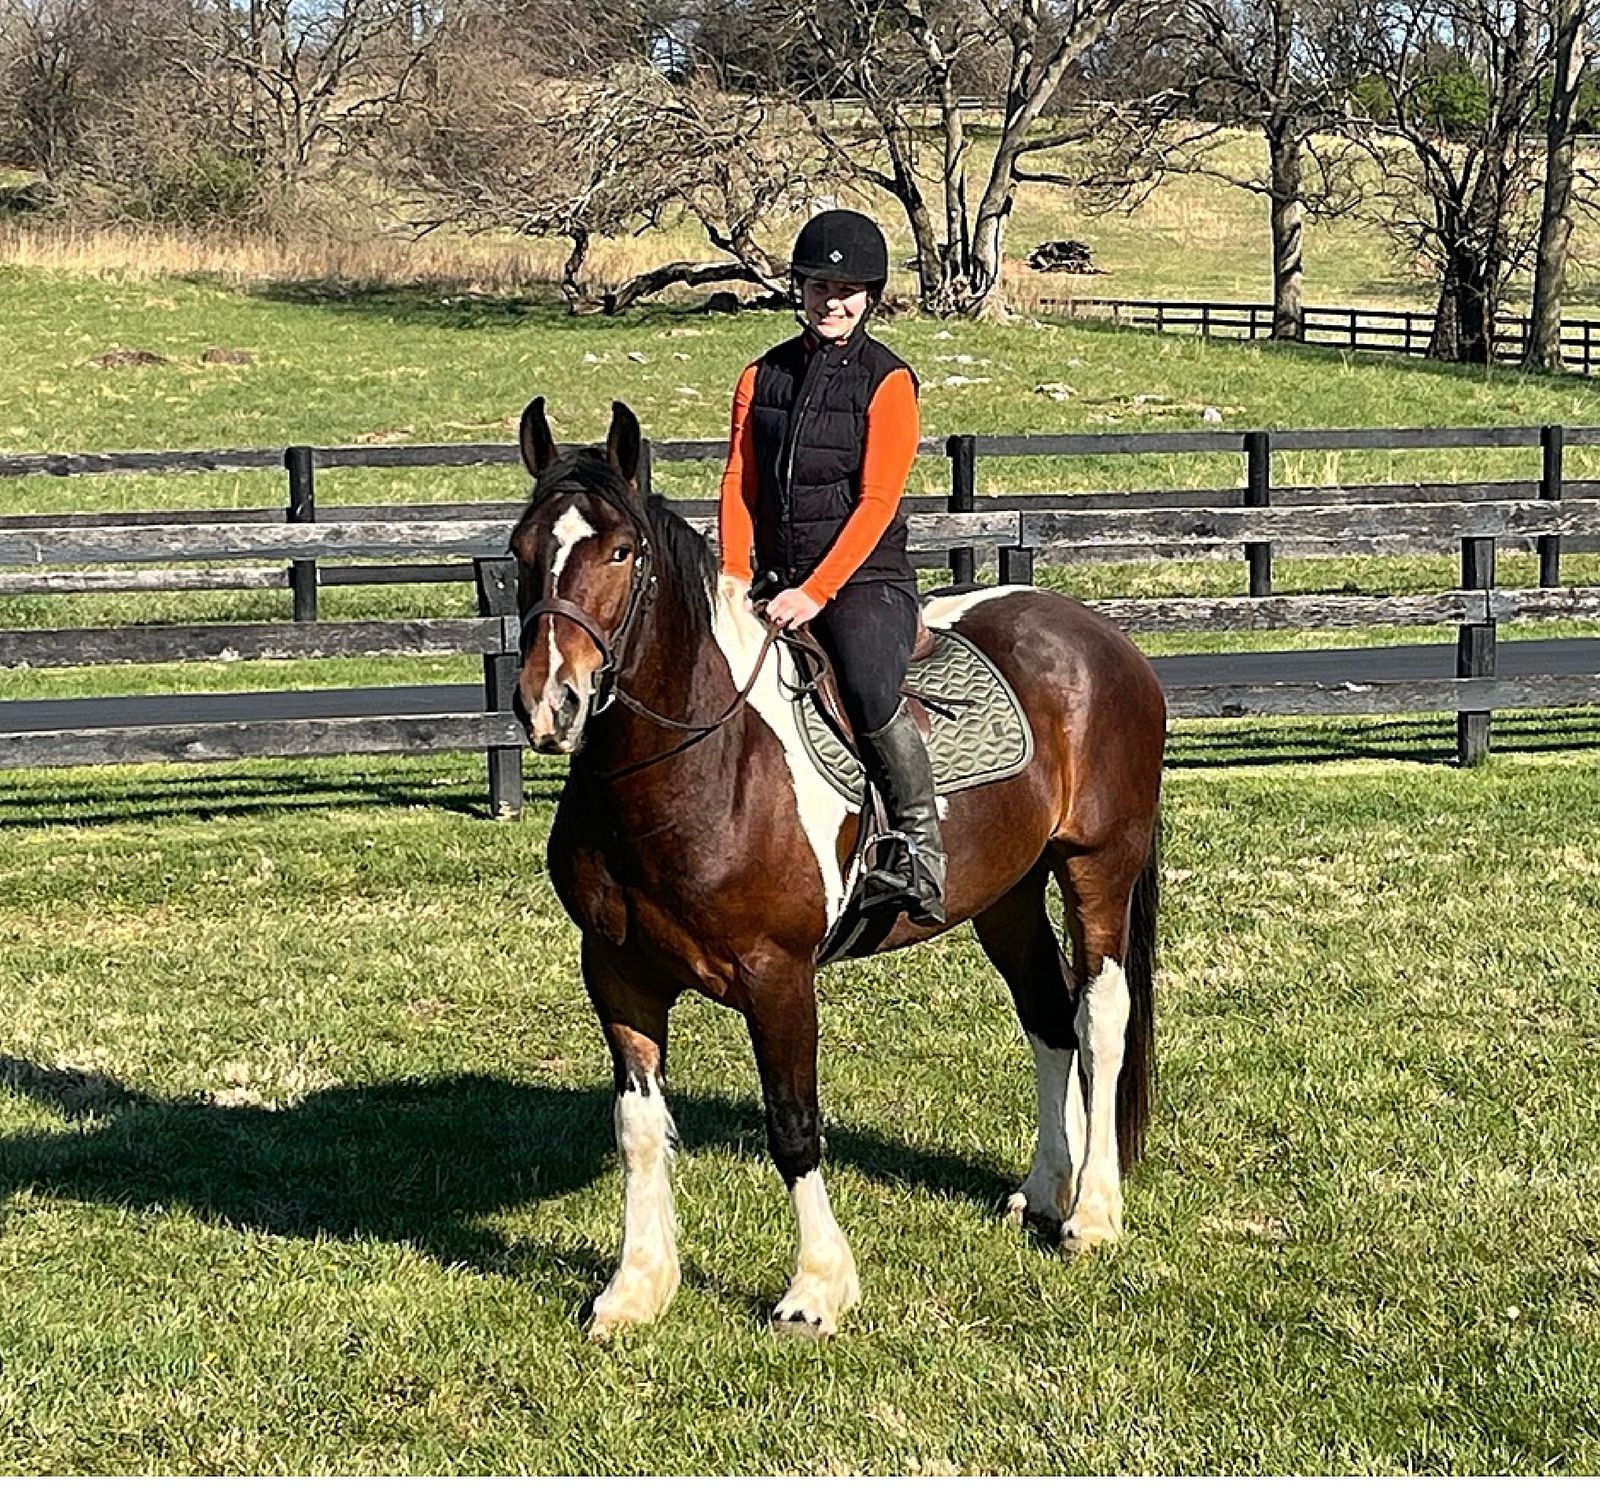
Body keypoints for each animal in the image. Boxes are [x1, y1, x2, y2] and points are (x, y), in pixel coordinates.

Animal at [509, 397, 1166, 1338]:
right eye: (520, 550)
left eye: (623, 551)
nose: (550, 703)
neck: (699, 768)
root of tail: (1102, 636)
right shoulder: (617, 973)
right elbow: (637, 1128)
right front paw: (635, 1288)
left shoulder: (778, 977)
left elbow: (793, 1124)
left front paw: (817, 1288)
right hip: (1005, 896)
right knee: (1047, 1019)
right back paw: (1045, 1191)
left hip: (1097, 866)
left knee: (1100, 1018)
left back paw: (1093, 1213)